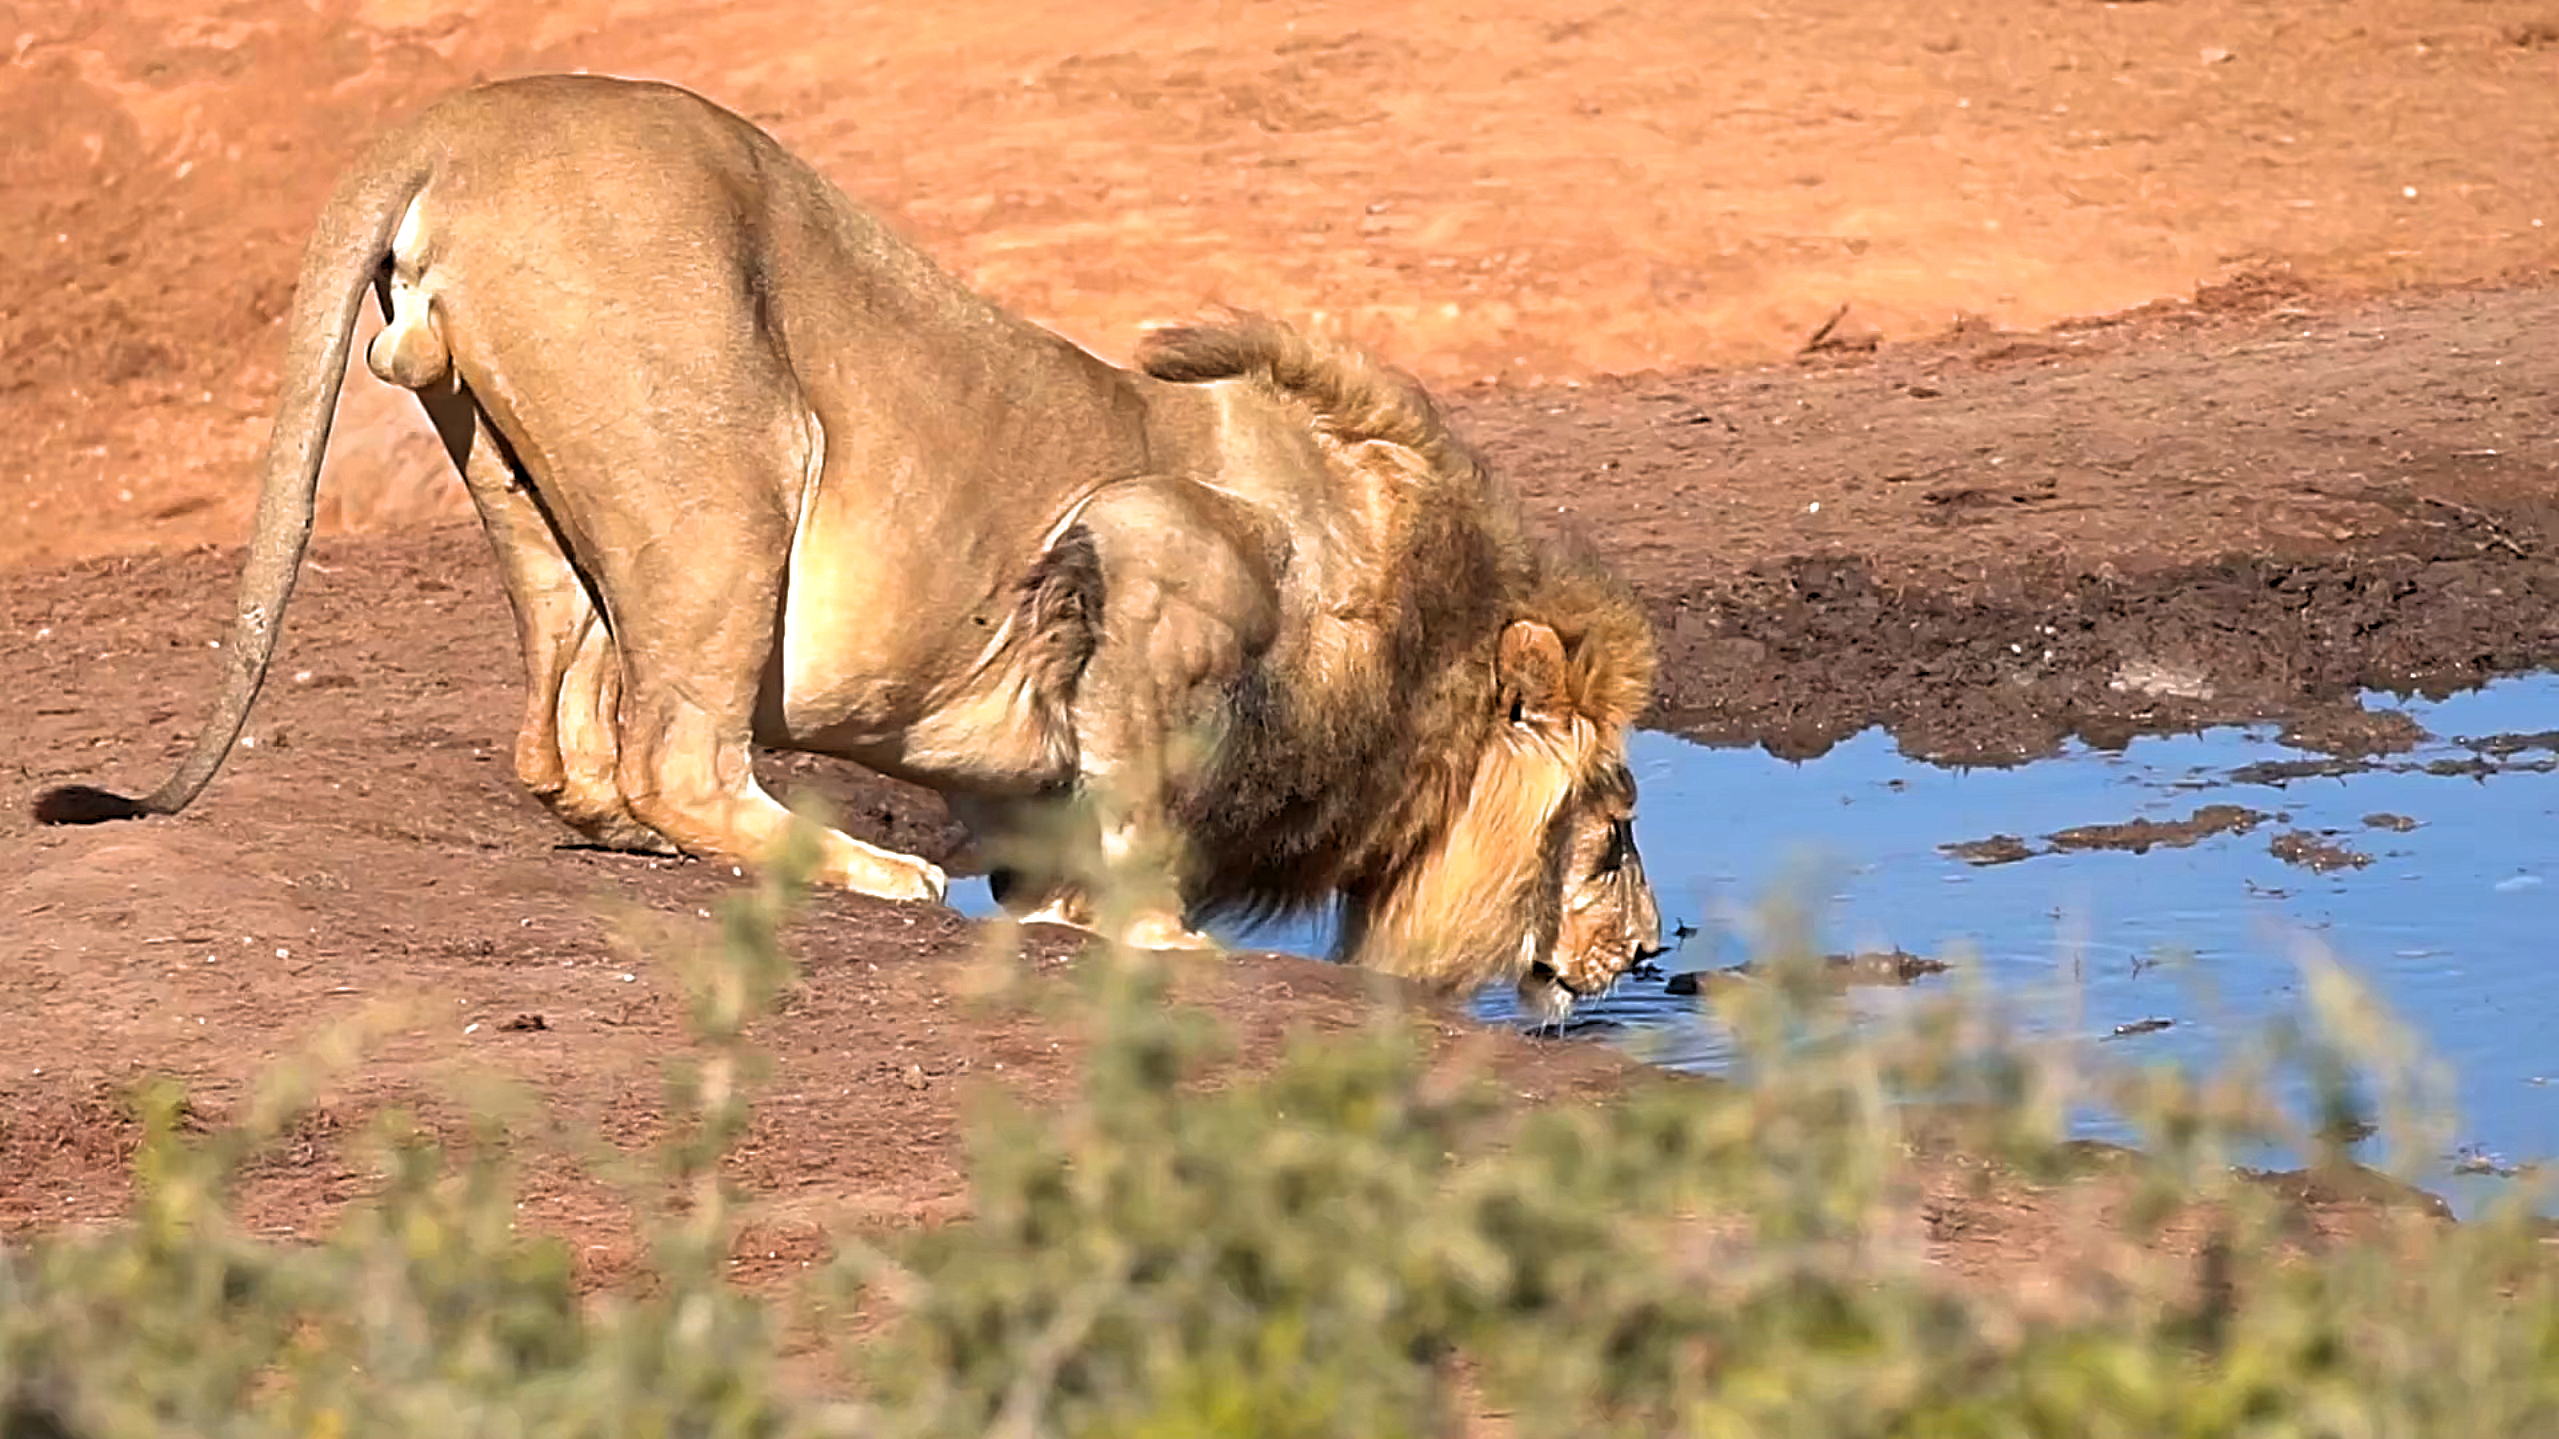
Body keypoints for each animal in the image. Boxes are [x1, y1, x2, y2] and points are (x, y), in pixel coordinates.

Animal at [30, 73, 1663, 1019]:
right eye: (1617, 823)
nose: (1651, 954)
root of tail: (462, 119)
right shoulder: (1152, 545)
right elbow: (1142, 805)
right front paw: (1158, 941)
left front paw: (1060, 906)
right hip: (735, 471)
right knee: (675, 755)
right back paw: (865, 871)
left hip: (516, 481)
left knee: (568, 745)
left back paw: (652, 835)